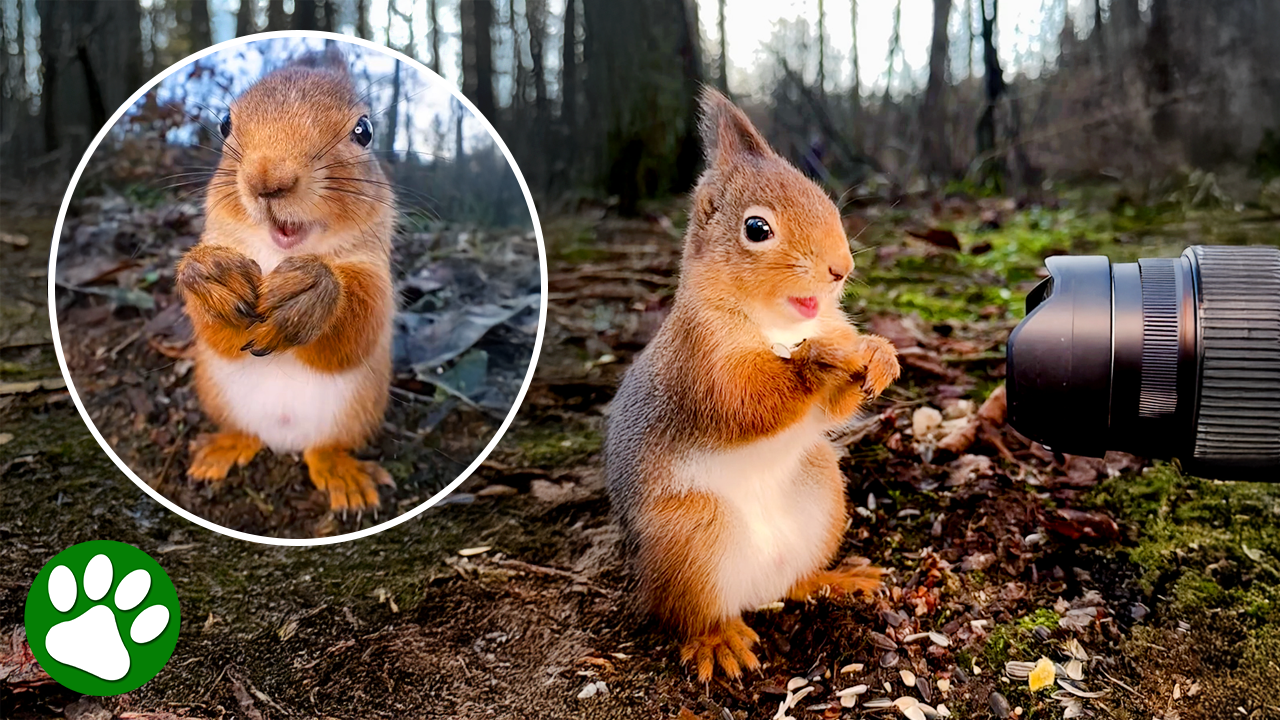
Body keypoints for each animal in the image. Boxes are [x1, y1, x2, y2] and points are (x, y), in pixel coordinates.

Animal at [175, 48, 396, 513]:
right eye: (225, 124)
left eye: (364, 131)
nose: (268, 180)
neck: (281, 253)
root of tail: (283, 439)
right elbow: (215, 334)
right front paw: (211, 275)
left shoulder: (375, 267)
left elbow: (363, 326)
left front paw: (313, 290)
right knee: (246, 433)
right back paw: (224, 449)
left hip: (356, 414)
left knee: (324, 448)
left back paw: (342, 474)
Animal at [604, 89, 901, 683]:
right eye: (757, 230)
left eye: (826, 200)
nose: (841, 267)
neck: (778, 326)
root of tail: (758, 589)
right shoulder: (702, 362)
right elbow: (746, 403)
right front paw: (817, 363)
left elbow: (832, 409)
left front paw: (879, 354)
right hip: (689, 536)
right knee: (688, 614)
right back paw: (718, 639)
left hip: (822, 492)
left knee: (797, 581)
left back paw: (836, 579)